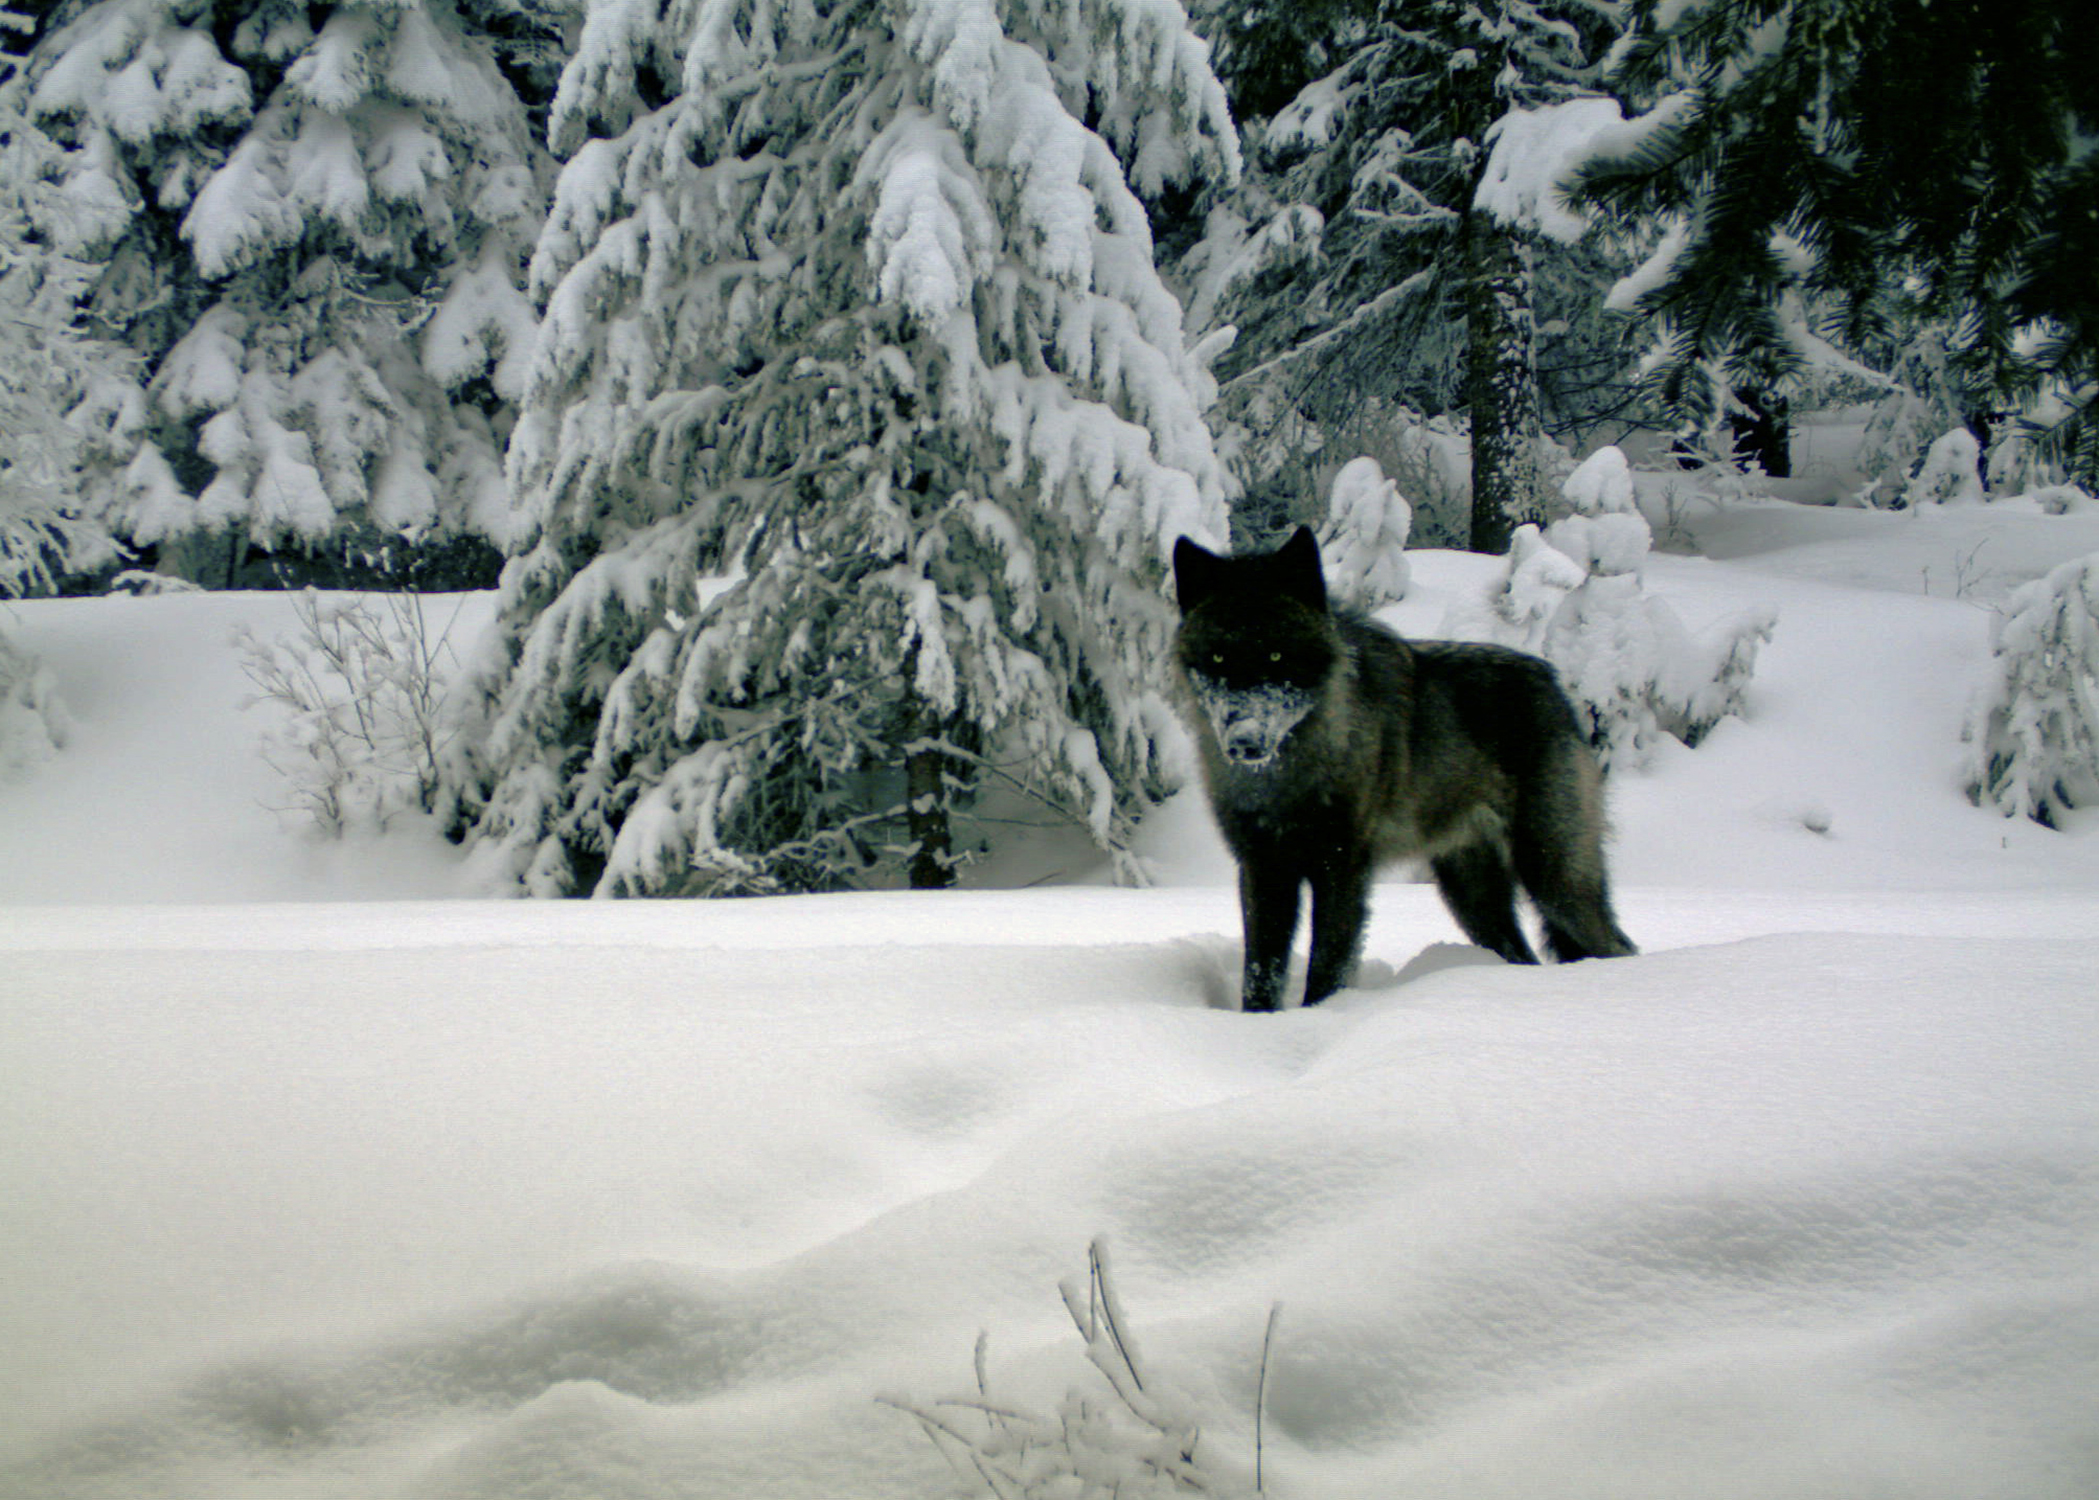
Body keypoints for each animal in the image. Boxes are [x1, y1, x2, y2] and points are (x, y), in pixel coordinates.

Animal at [1171, 526, 1635, 1011]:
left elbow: (1326, 969)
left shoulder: (1342, 871)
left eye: (1278, 656)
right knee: (1522, 955)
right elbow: (1259, 974)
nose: (1244, 740)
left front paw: (1319, 1018)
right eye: (1217, 659)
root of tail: (1554, 683)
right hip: (1471, 896)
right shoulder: (1263, 870)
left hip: (1554, 876)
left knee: (1615, 945)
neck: (1286, 776)